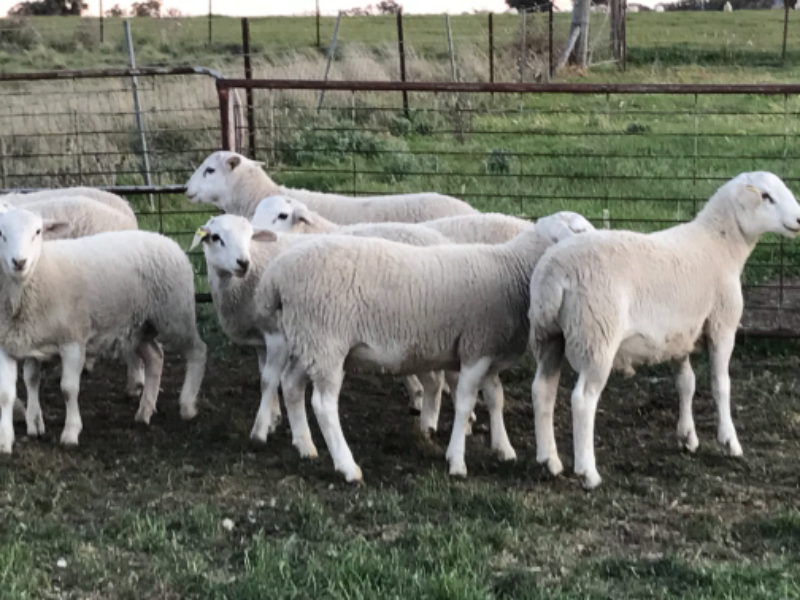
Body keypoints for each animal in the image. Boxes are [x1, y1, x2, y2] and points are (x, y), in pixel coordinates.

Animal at [0, 208, 206, 453]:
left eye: (38, 231)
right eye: (1, 233)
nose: (19, 262)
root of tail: (166, 240)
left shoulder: (73, 339)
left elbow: (68, 389)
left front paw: (71, 433)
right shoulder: (16, 342)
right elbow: (12, 391)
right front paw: (12, 436)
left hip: (175, 314)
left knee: (197, 350)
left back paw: (187, 406)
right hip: (140, 327)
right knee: (155, 357)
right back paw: (144, 411)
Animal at [254, 211, 594, 482]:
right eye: (576, 231)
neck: (513, 269)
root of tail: (275, 277)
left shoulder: (487, 349)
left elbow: (496, 398)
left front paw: (503, 449)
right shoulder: (474, 349)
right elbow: (466, 402)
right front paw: (456, 461)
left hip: (306, 341)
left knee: (291, 385)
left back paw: (305, 446)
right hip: (326, 342)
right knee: (323, 405)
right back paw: (347, 467)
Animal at [528, 172, 800, 490]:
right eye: (767, 196)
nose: (799, 219)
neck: (719, 245)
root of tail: (554, 273)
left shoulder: (679, 334)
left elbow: (686, 383)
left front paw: (687, 437)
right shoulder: (722, 325)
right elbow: (721, 384)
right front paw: (729, 441)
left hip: (548, 334)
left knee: (542, 390)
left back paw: (548, 460)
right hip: (597, 336)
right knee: (583, 400)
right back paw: (588, 472)